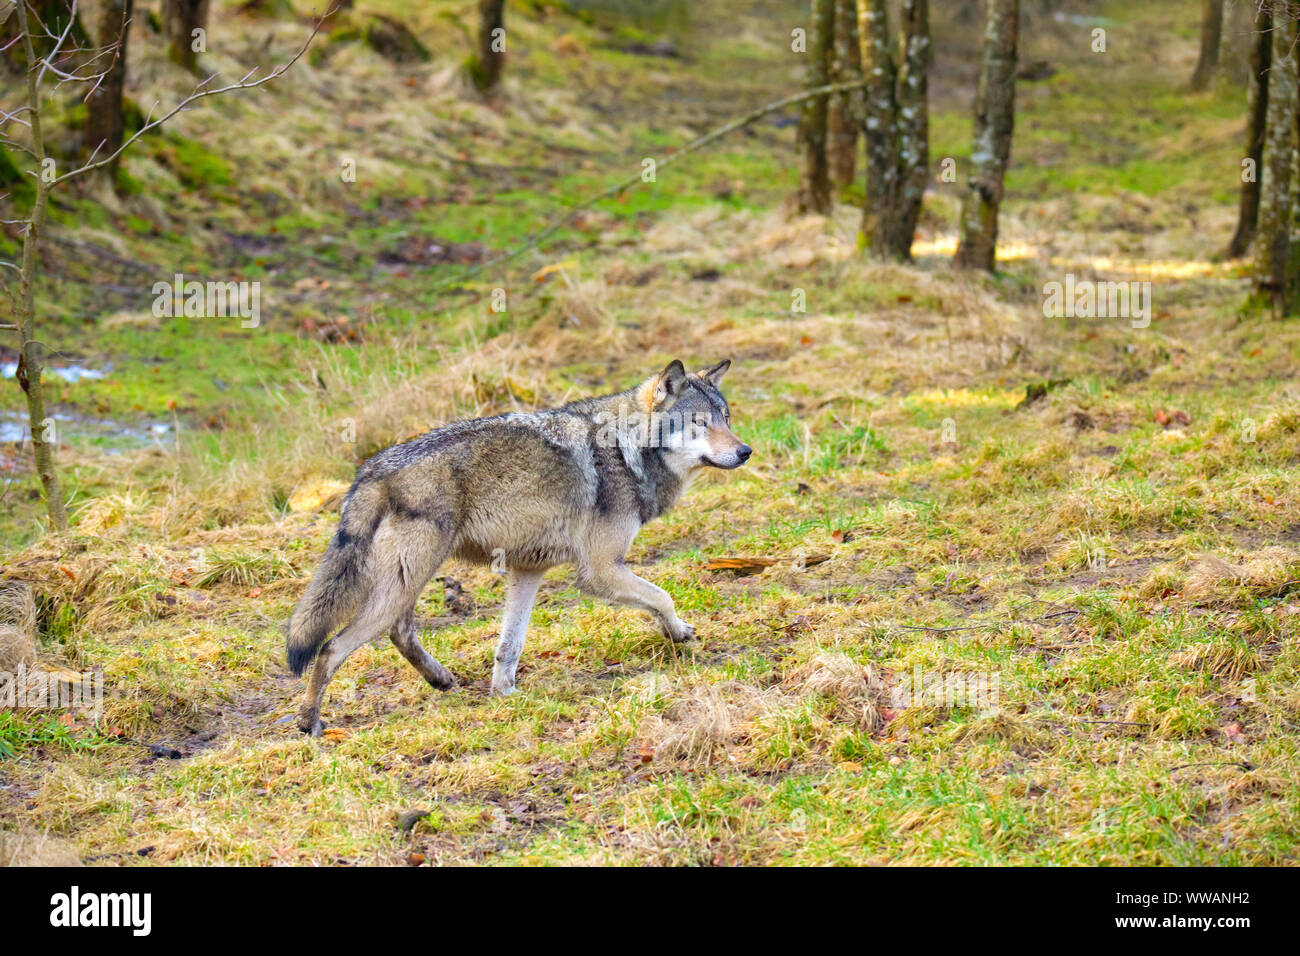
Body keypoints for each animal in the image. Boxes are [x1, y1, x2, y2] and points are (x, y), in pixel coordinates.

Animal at [286, 359, 751, 736]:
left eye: (726, 418)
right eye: (699, 423)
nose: (746, 450)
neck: (626, 450)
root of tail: (372, 470)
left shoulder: (528, 570)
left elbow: (509, 645)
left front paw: (504, 695)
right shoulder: (600, 570)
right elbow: (662, 597)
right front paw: (680, 633)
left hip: (407, 582)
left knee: (399, 632)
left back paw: (441, 679)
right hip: (406, 581)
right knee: (332, 648)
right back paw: (310, 722)